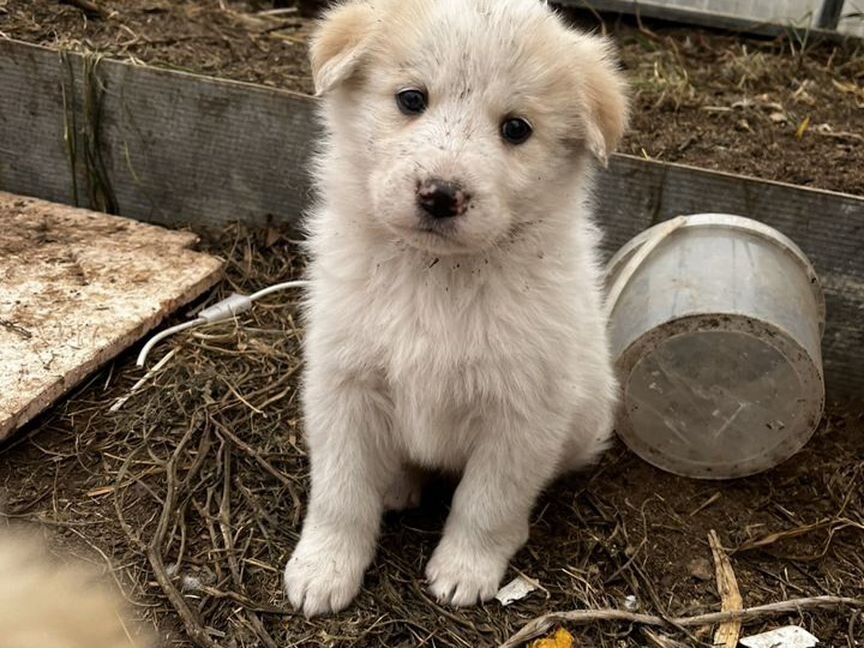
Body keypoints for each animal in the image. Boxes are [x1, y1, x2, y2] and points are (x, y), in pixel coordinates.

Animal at [284, 0, 628, 616]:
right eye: (411, 99)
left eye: (516, 129)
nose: (441, 195)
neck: (436, 275)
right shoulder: (343, 385)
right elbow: (341, 492)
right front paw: (323, 568)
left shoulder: (523, 412)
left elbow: (487, 501)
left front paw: (465, 570)